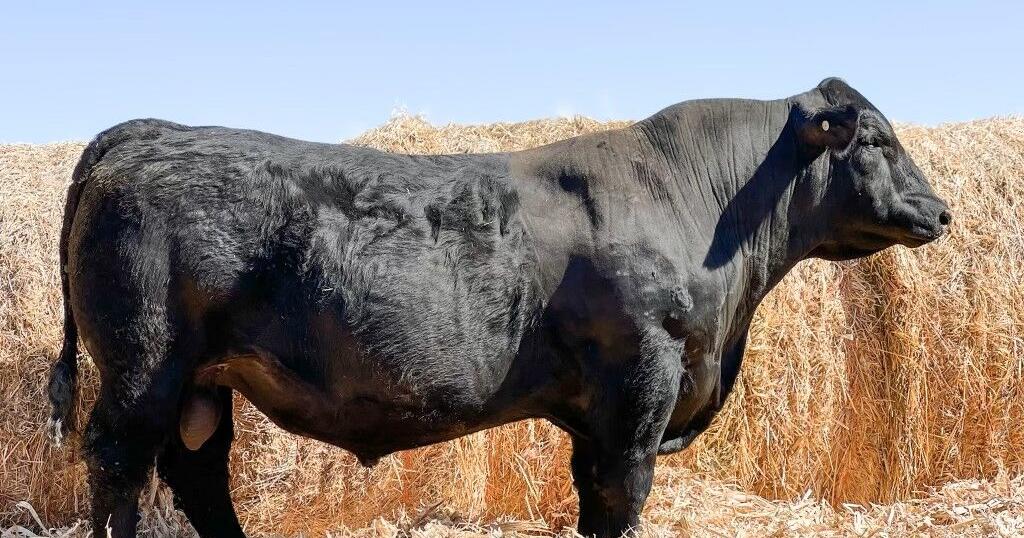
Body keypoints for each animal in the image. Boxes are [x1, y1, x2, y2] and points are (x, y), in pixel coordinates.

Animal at [47, 78, 950, 537]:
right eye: (874, 138)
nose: (941, 210)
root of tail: (147, 131)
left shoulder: (598, 413)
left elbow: (593, 500)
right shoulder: (642, 381)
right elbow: (623, 496)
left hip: (202, 379)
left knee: (196, 474)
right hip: (142, 367)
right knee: (118, 470)